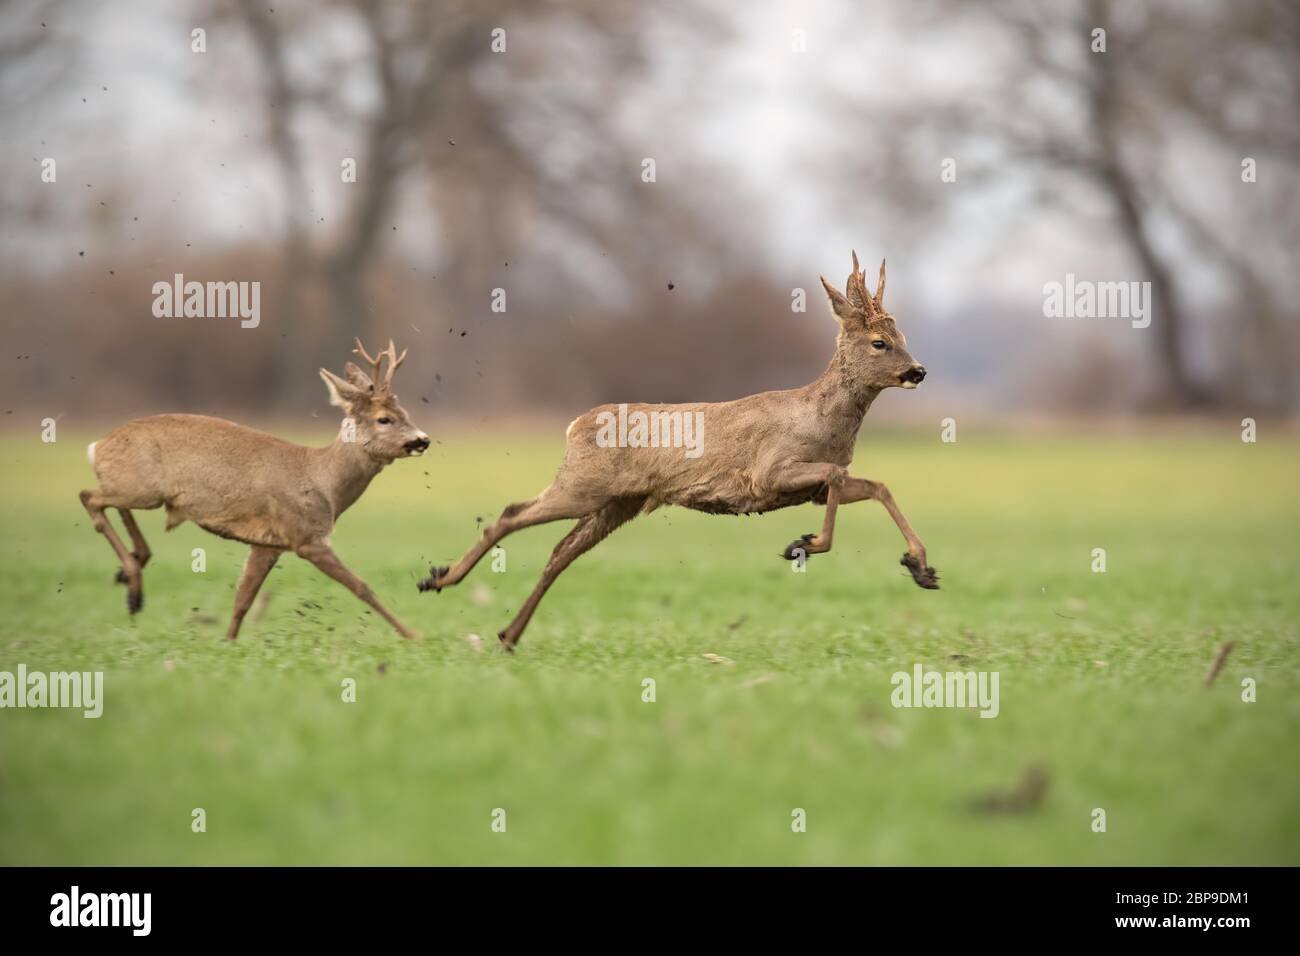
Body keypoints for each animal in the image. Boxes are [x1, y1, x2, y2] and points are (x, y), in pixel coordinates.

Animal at [80, 339, 430, 641]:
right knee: (89, 496)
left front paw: (228, 642)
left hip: (140, 489)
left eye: (406, 413)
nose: (422, 439)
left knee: (106, 499)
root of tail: (97, 446)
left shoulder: (267, 544)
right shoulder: (305, 537)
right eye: (384, 418)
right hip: (143, 489)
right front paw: (413, 635)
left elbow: (242, 600)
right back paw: (134, 588)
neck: (323, 482)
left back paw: (132, 569)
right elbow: (361, 586)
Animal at [418, 253, 938, 651]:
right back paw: (439, 580)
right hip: (583, 486)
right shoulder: (768, 473)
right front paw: (805, 544)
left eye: (904, 338)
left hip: (618, 503)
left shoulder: (805, 489)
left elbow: (873, 484)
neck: (821, 420)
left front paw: (921, 567)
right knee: (511, 513)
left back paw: (507, 633)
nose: (918, 370)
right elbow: (836, 477)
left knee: (561, 550)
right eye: (879, 342)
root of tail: (573, 426)